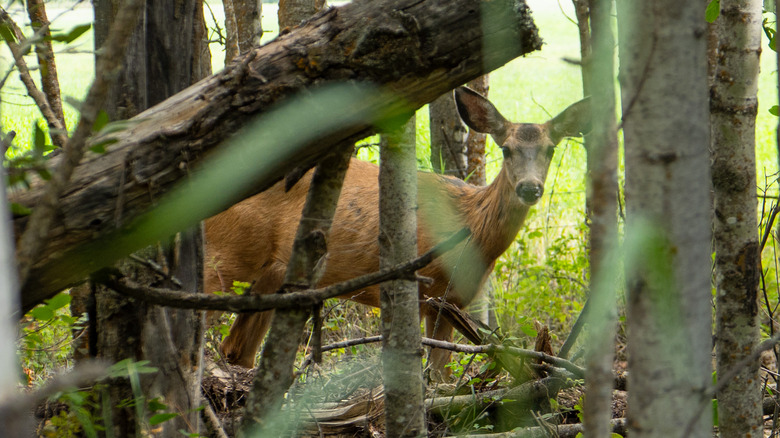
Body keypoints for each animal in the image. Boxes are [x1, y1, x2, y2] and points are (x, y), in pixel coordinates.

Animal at [204, 87, 590, 377]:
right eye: (506, 149)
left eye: (550, 149)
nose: (530, 188)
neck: (471, 226)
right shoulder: (423, 289)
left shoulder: (452, 301)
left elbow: (440, 375)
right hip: (225, 256)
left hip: (269, 277)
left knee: (236, 351)